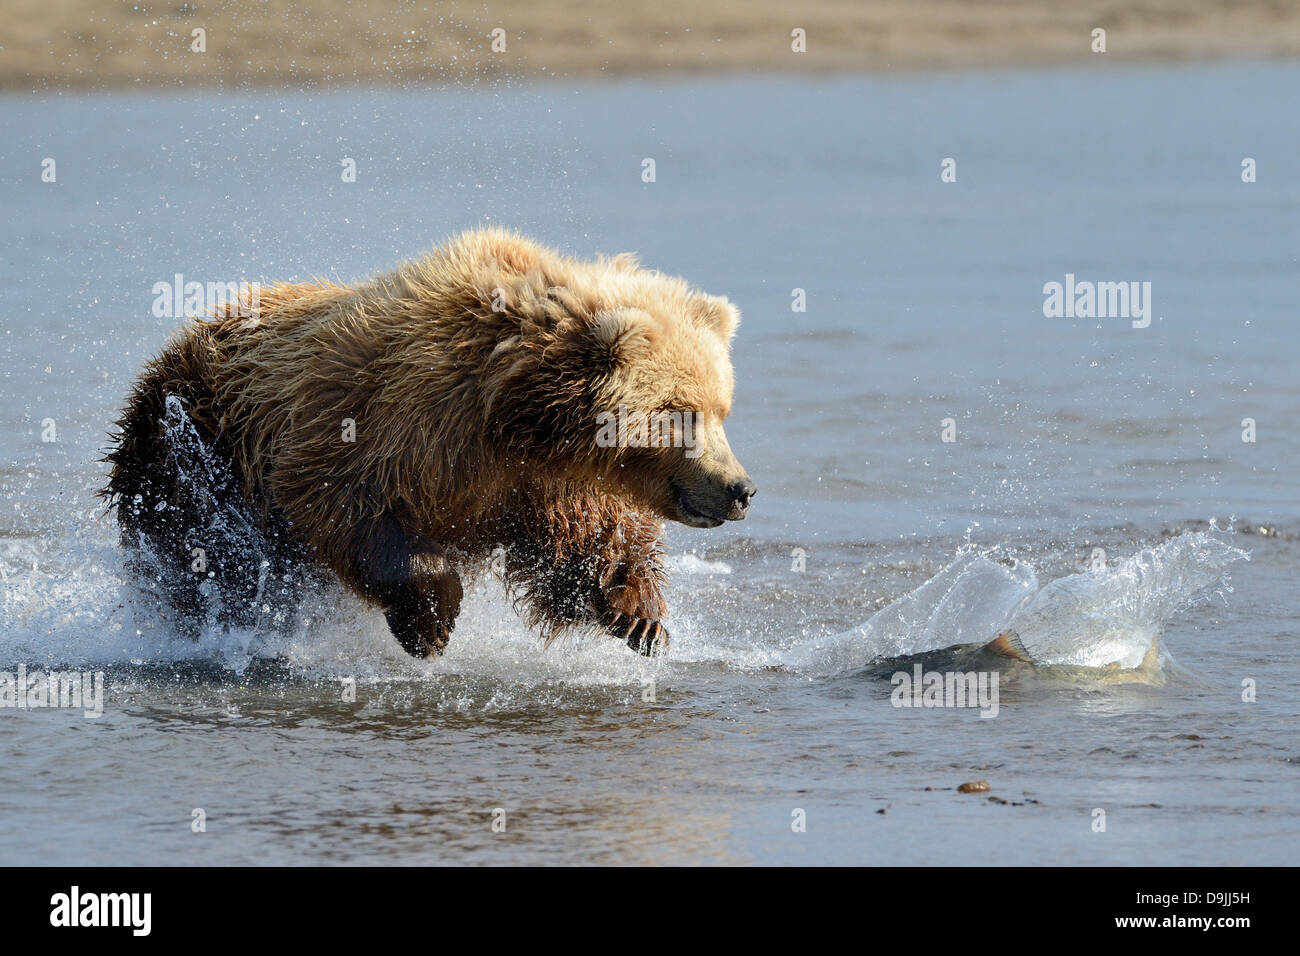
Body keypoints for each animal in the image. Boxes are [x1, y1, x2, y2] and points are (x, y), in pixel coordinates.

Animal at [103, 229, 755, 658]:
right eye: (683, 415)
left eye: (723, 409)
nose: (740, 488)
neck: (516, 414)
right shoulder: (388, 420)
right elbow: (346, 505)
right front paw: (432, 622)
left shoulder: (540, 479)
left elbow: (585, 539)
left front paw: (640, 617)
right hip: (192, 452)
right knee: (209, 554)